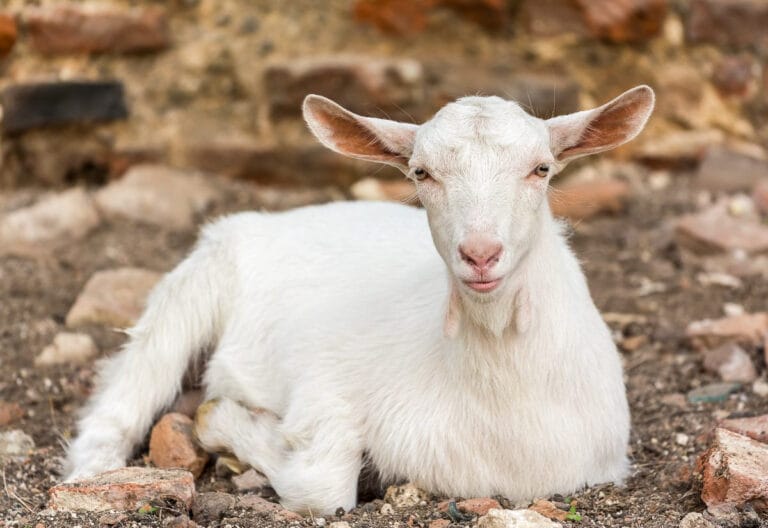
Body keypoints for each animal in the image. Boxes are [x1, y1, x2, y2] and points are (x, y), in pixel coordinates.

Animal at [64, 86, 655, 514]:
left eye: (542, 168)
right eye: (421, 172)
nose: (481, 254)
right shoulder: (324, 387)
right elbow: (323, 485)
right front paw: (227, 423)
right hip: (198, 282)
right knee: (129, 389)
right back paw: (93, 474)